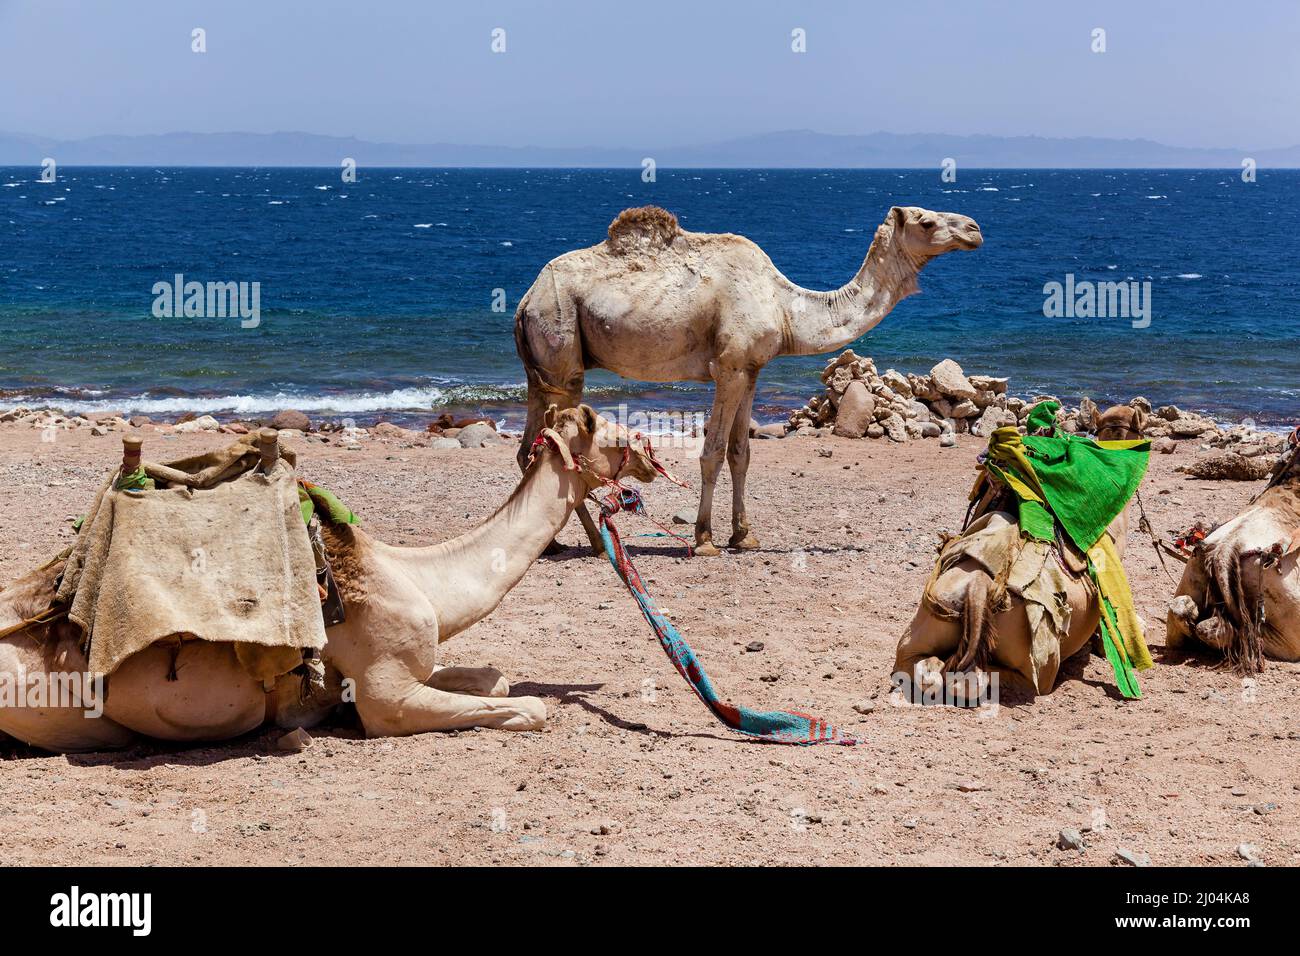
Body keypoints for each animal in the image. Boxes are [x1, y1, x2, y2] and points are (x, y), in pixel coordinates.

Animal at [0, 405, 659, 752]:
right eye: (616, 433)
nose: (654, 452)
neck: (419, 579)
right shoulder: (386, 697)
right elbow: (528, 709)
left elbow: (493, 680)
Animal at [514, 204, 982, 556]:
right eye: (926, 221)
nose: (975, 229)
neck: (786, 307)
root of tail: (525, 300)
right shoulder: (730, 367)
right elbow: (713, 451)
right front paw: (705, 539)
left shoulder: (754, 371)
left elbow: (742, 452)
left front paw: (744, 536)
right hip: (560, 345)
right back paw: (594, 543)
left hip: (543, 370)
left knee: (530, 448)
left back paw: (553, 543)